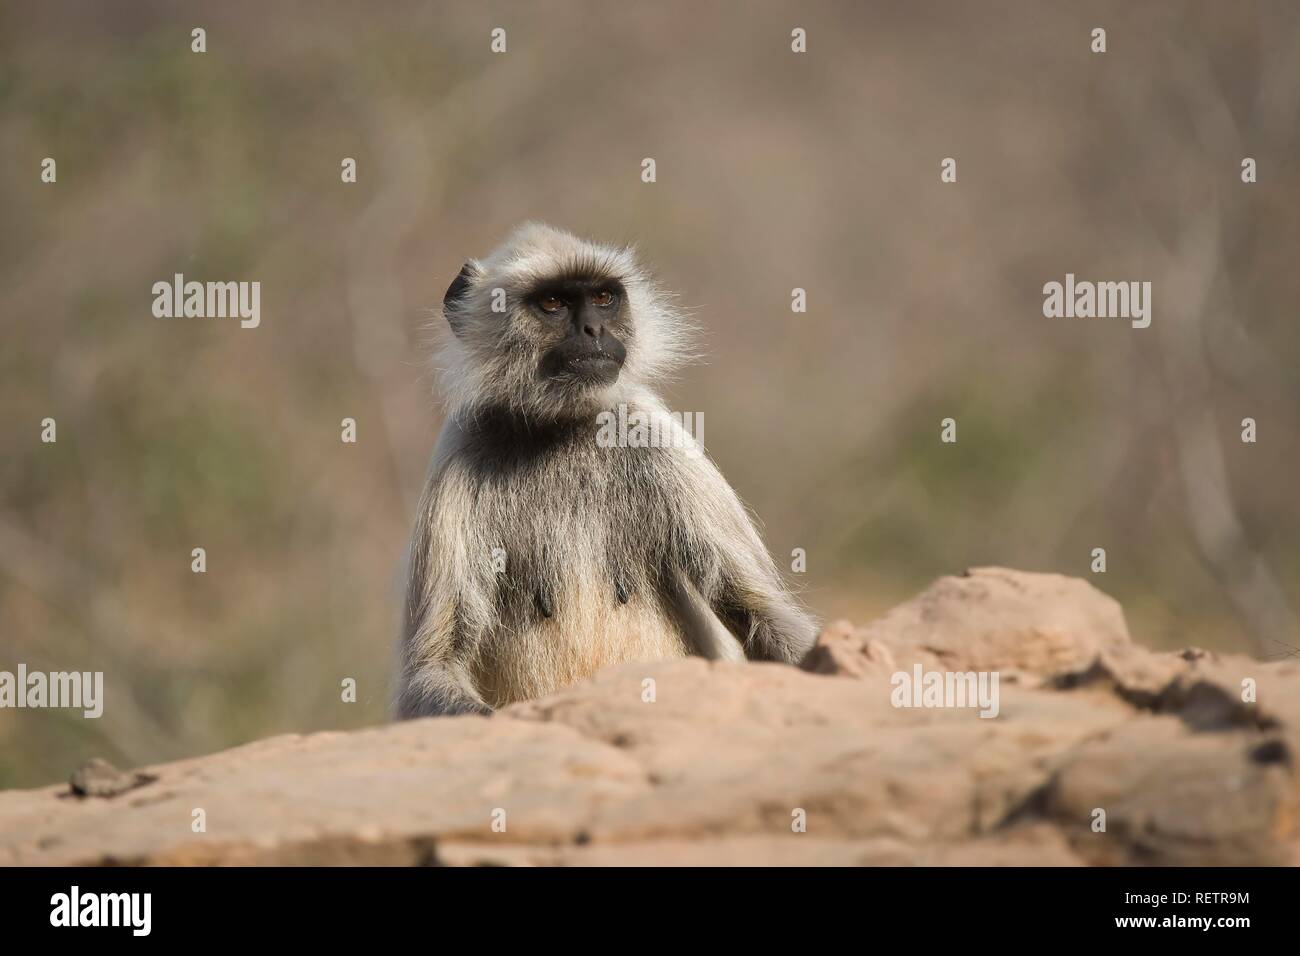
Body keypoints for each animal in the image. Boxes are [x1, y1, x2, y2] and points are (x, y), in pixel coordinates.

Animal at [394, 223, 817, 718]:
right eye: (553, 303)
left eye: (602, 297)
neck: (561, 430)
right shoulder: (461, 450)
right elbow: (431, 666)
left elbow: (762, 613)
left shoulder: (655, 435)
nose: (593, 329)